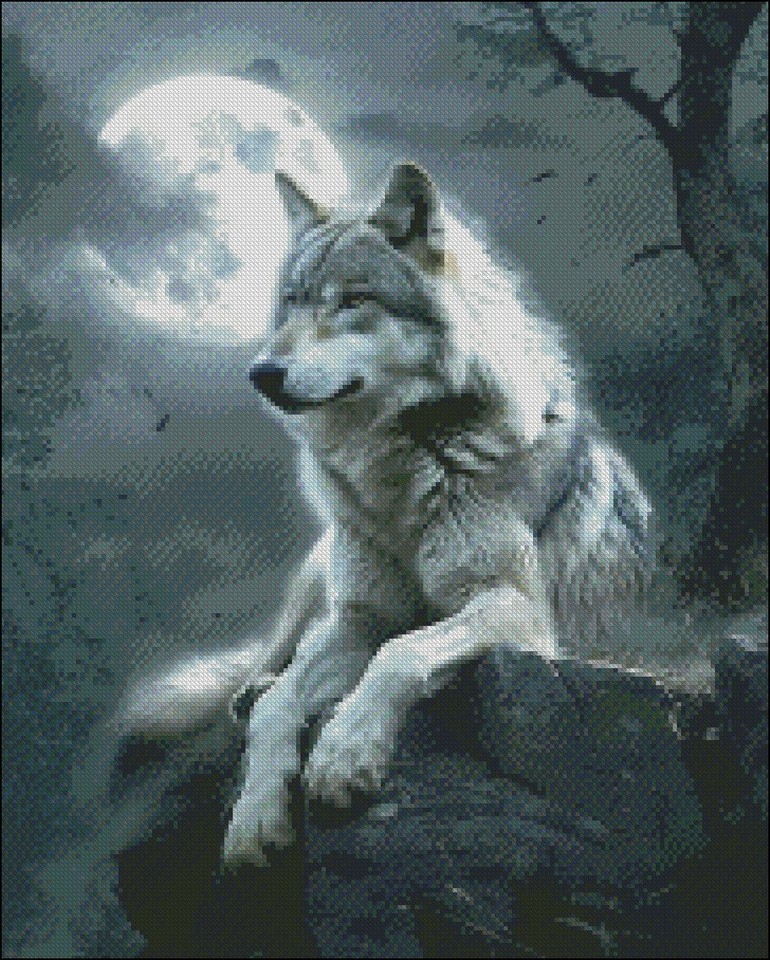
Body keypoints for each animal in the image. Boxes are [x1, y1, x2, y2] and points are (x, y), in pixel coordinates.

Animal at [120, 163, 653, 865]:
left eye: (352, 301)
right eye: (292, 301)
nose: (261, 373)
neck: (403, 468)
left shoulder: (516, 610)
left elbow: (400, 653)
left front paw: (343, 756)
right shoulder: (359, 617)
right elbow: (283, 704)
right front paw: (256, 815)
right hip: (317, 581)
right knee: (269, 665)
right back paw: (250, 689)